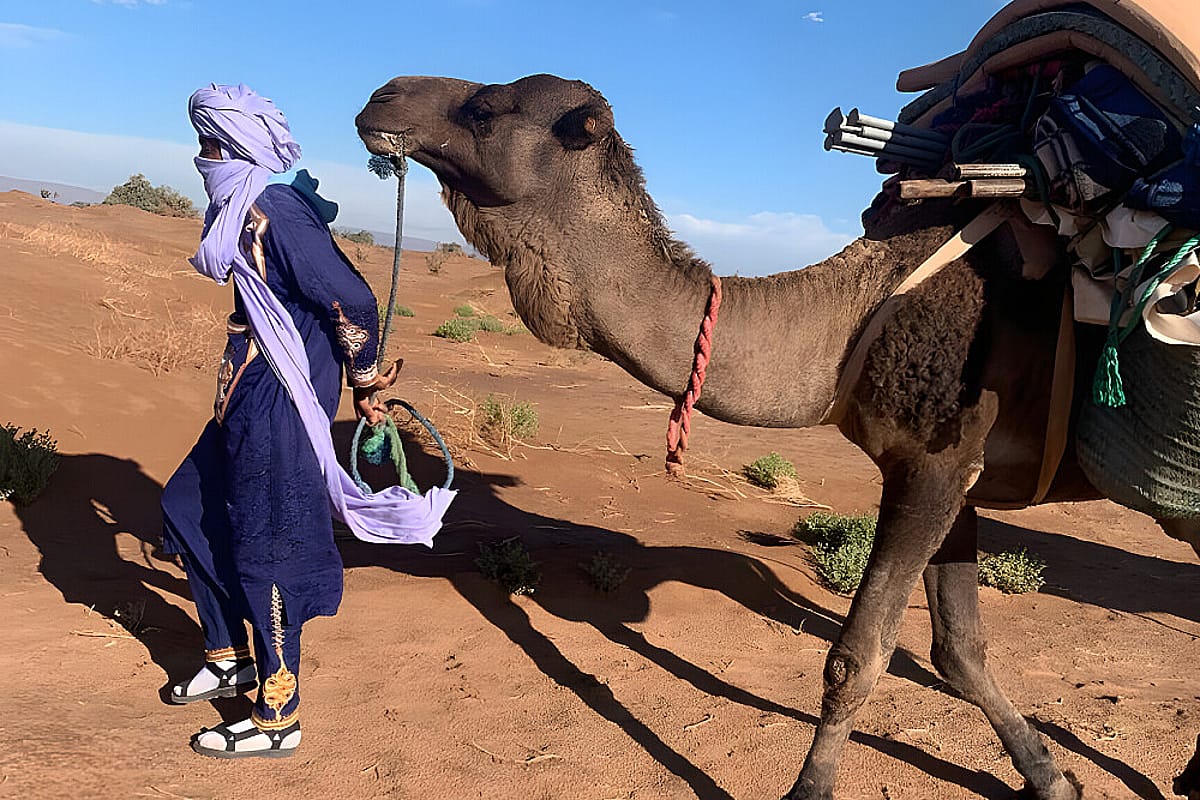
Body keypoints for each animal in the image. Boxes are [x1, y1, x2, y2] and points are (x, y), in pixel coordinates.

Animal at [355, 73, 1200, 800]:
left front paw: (810, 787)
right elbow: (958, 650)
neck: (855, 315)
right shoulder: (948, 471)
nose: (380, 95)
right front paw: (1053, 777)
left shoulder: (934, 459)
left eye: (486, 107)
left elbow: (856, 658)